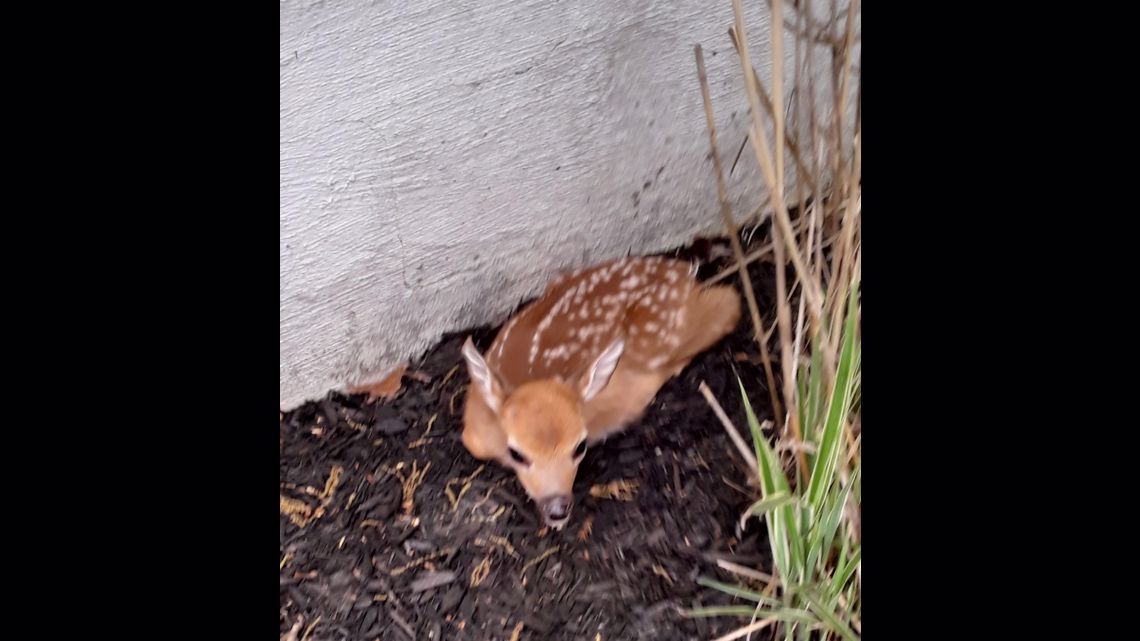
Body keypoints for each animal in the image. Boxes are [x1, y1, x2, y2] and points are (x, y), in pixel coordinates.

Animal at [460, 256, 741, 528]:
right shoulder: (475, 433)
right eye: (516, 454)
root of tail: (681, 271)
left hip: (665, 338)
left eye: (580, 446)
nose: (557, 508)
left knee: (730, 303)